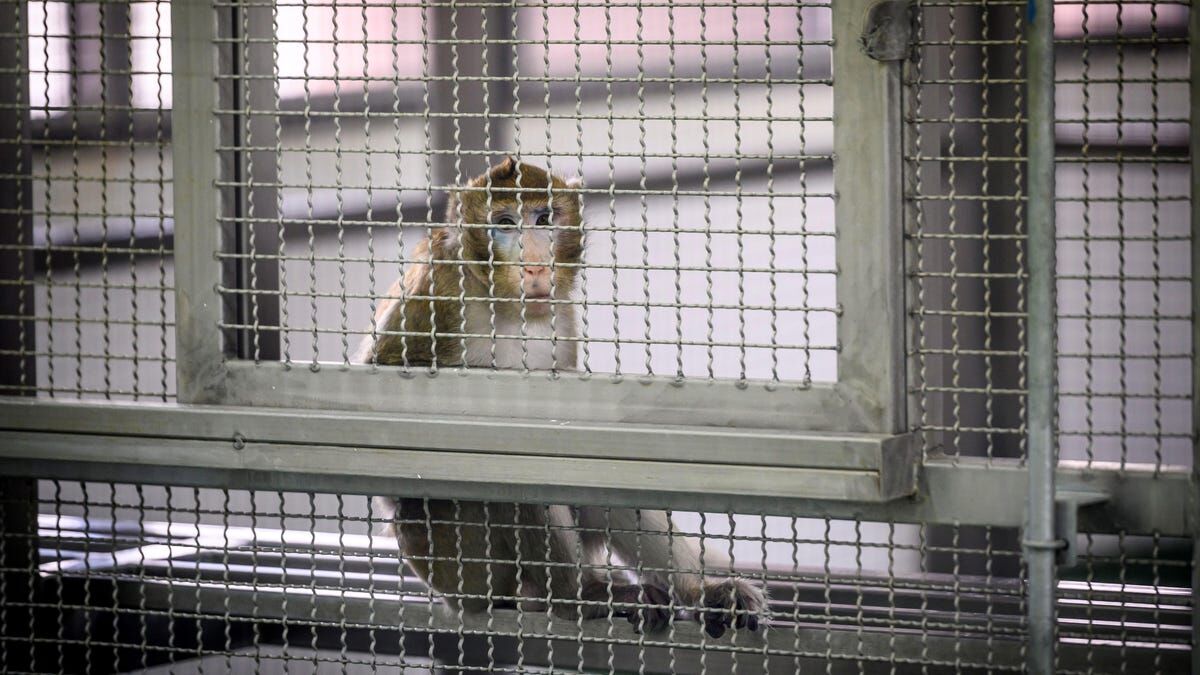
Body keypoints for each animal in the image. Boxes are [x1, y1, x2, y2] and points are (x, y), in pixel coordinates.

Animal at [357, 157, 768, 637]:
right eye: (505, 224)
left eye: (544, 220)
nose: (536, 267)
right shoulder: (437, 290)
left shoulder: (562, 316)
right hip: (459, 564)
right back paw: (582, 597)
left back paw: (702, 593)